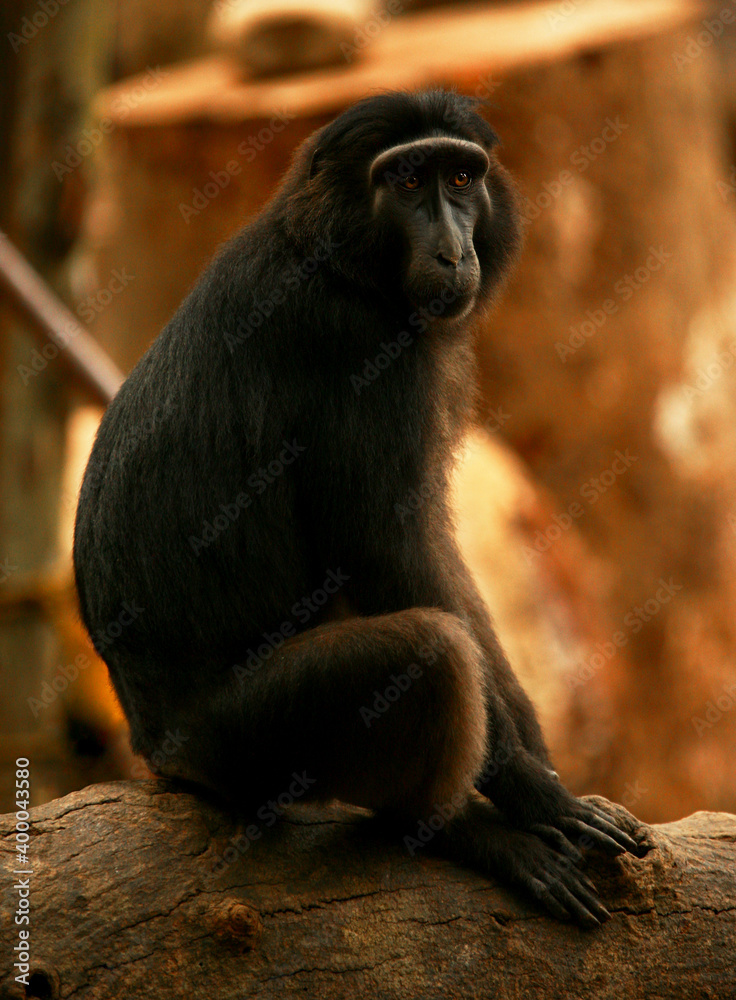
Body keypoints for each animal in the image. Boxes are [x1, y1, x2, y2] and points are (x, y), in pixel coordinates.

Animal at [73, 89, 646, 926]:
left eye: (461, 177)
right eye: (405, 182)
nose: (453, 253)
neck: (336, 257)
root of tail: (156, 746)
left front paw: (545, 771)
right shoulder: (353, 344)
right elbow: (390, 553)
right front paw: (534, 798)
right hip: (249, 737)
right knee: (431, 652)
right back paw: (454, 831)